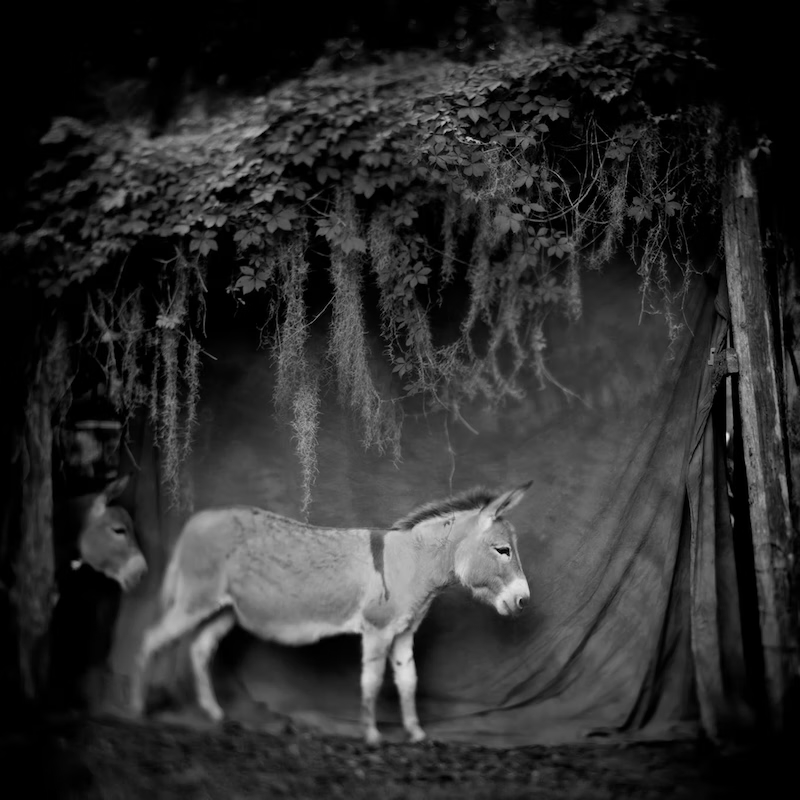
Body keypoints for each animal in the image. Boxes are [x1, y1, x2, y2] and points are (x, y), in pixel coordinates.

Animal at [130, 480, 532, 745]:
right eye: (503, 550)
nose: (524, 601)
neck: (411, 563)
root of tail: (195, 521)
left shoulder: (404, 632)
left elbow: (408, 681)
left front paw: (416, 733)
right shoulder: (377, 630)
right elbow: (371, 681)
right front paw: (371, 735)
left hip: (226, 609)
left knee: (199, 648)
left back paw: (214, 712)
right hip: (194, 600)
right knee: (150, 639)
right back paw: (139, 708)